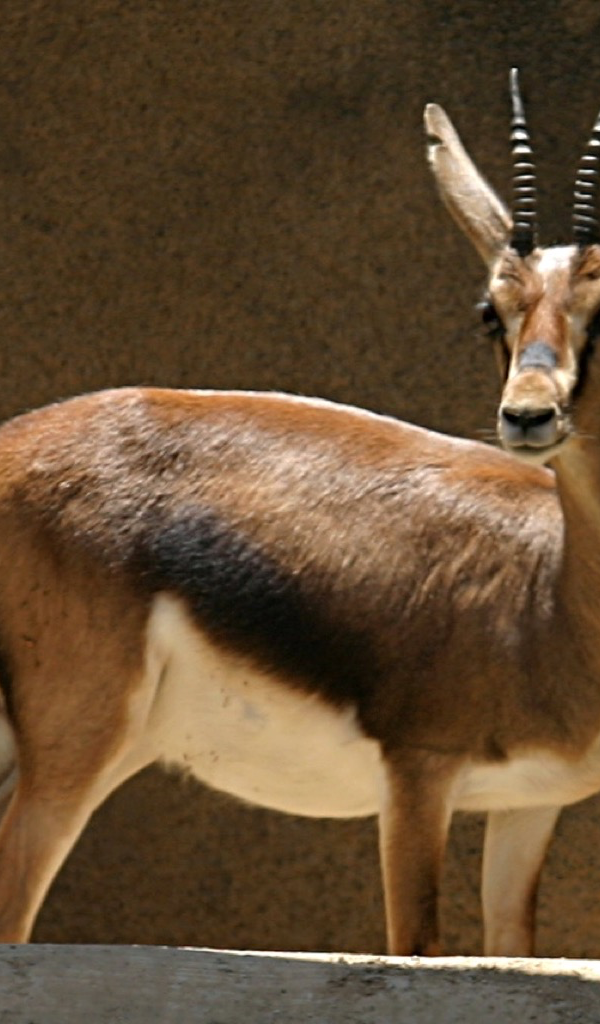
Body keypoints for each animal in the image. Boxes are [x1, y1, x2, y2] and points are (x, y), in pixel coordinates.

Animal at [0, 75, 598, 961]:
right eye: (491, 311)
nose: (529, 416)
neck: (547, 595)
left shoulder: (529, 805)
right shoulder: (417, 772)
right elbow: (416, 948)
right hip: (75, 744)